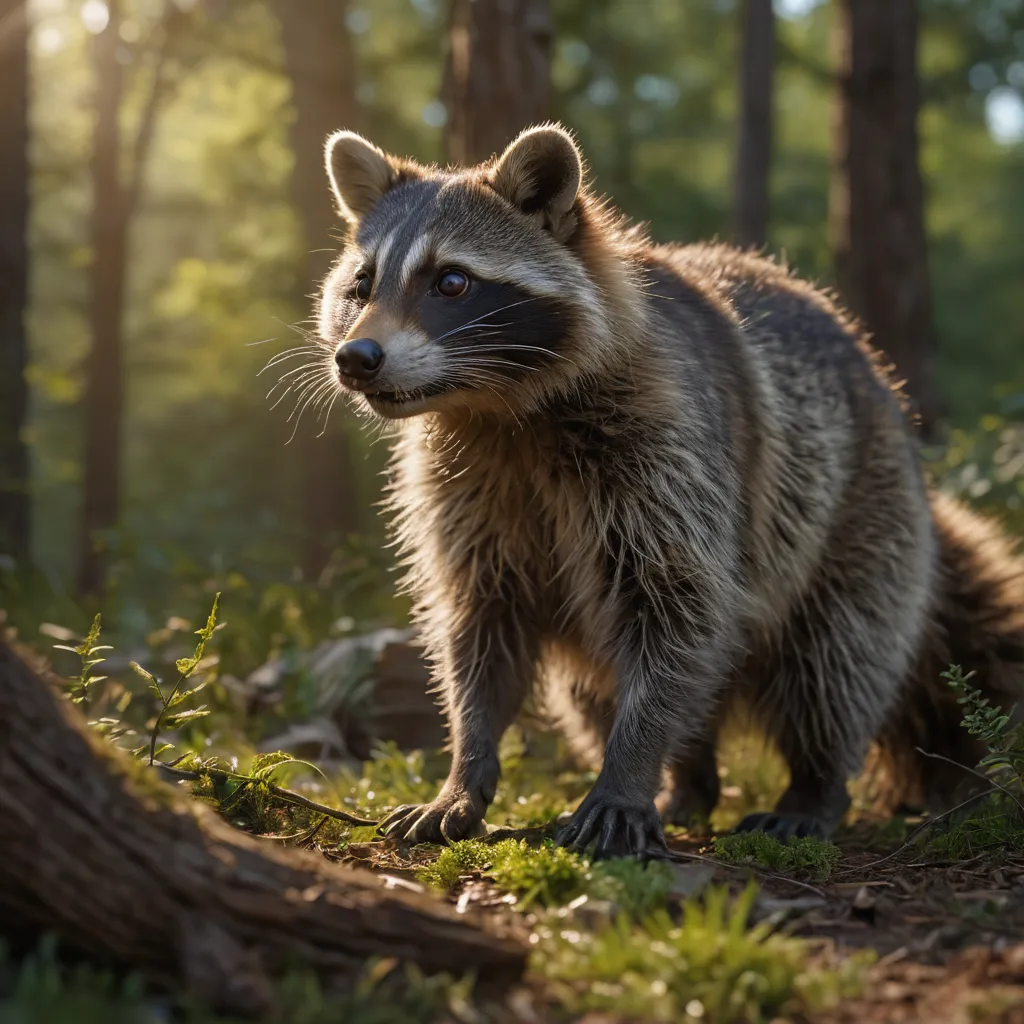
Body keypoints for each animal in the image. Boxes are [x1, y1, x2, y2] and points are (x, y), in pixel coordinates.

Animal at [315, 123, 1024, 857]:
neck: (498, 410)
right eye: (362, 285)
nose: (357, 358)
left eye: (452, 281)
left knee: (835, 659)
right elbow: (482, 627)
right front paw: (466, 769)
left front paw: (626, 772)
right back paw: (689, 780)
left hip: (860, 510)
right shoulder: (464, 488)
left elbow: (680, 609)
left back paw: (813, 784)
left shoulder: (669, 451)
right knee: (596, 691)